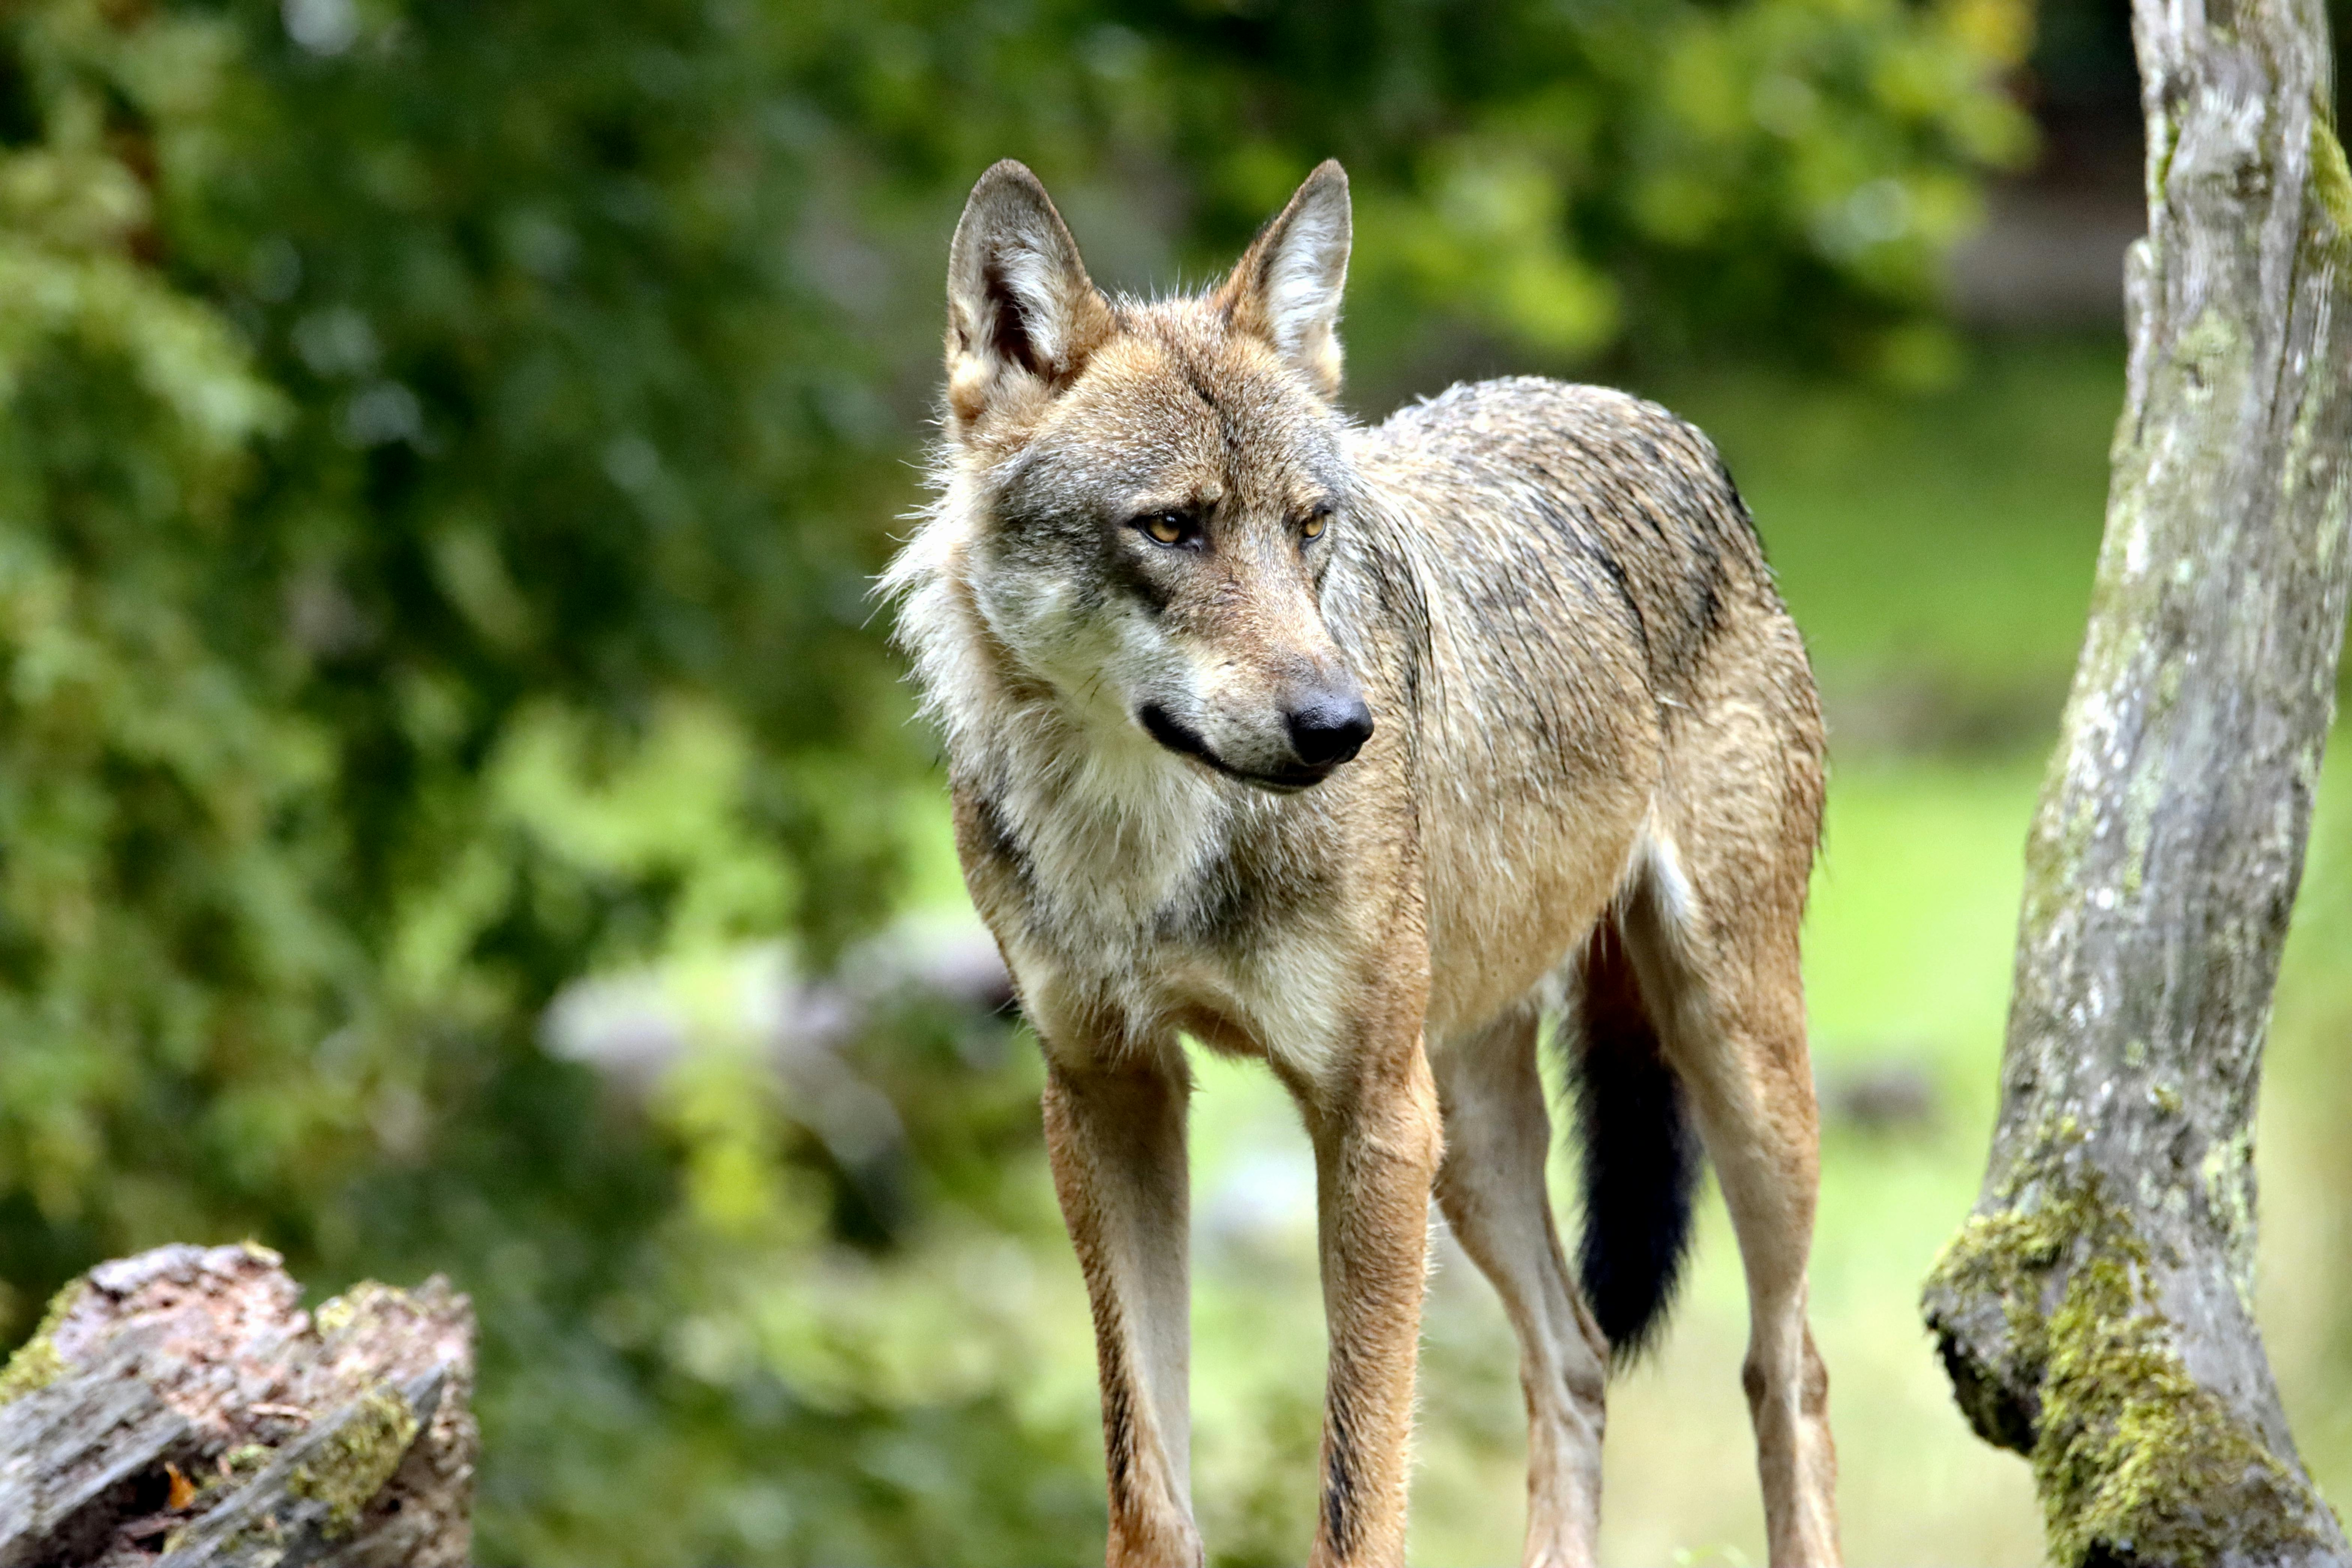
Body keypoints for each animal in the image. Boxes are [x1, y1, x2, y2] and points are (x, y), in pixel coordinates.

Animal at [884, 158, 1840, 1568]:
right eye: (1172, 528)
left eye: (1309, 526)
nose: (1343, 727)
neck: (1150, 843)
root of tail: (1645, 413)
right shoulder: (1106, 1096)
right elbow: (1145, 1483)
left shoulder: (1367, 1119)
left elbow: (1356, 1494)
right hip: (1475, 1135)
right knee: (1573, 1359)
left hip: (1725, 1066)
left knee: (1787, 1367)